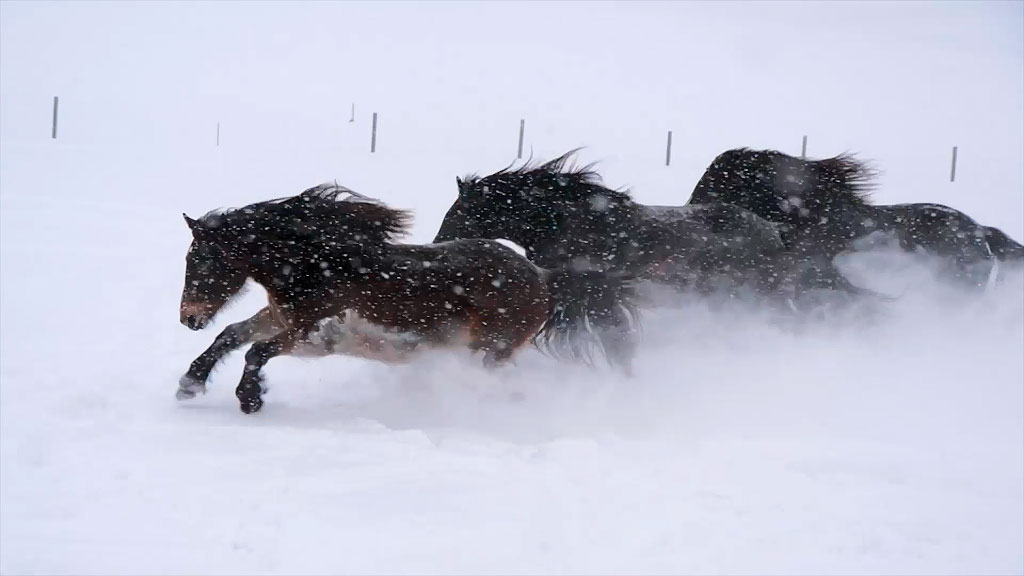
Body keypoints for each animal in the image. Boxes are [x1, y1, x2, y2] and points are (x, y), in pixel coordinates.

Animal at [177, 184, 642, 414]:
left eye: (201, 259)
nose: (188, 318)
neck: (319, 267)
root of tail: (543, 277)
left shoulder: (314, 336)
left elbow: (256, 351)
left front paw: (250, 399)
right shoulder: (280, 317)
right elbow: (231, 335)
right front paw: (189, 385)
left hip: (491, 350)